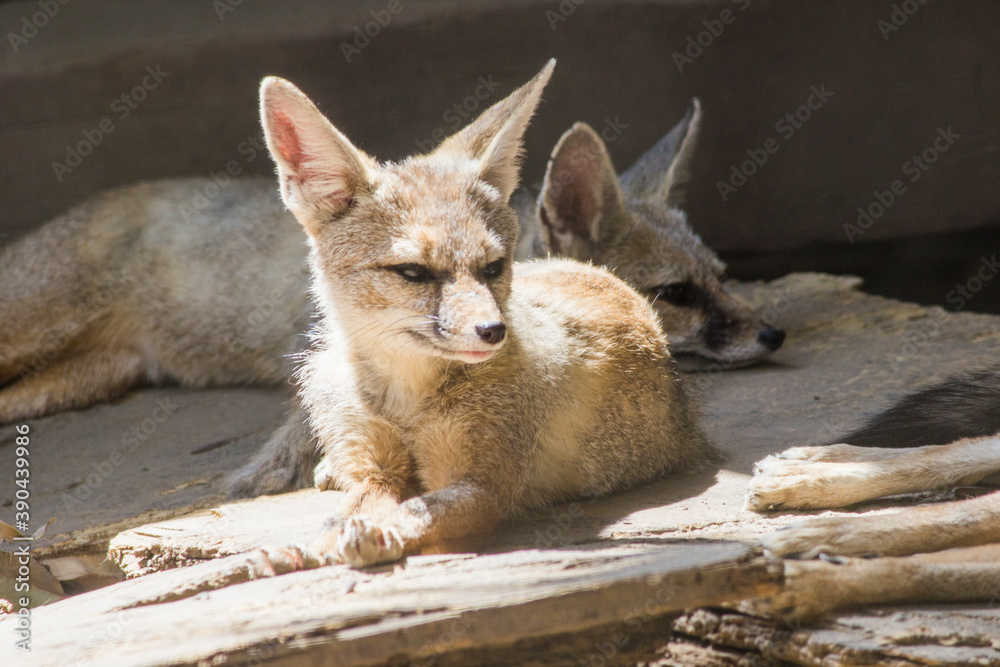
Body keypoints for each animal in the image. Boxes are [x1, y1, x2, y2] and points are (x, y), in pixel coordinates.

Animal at [234, 61, 719, 570]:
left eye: (493, 268)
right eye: (413, 272)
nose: (493, 331)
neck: (405, 401)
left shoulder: (483, 486)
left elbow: (419, 509)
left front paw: (378, 533)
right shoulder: (376, 466)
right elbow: (352, 507)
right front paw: (306, 545)